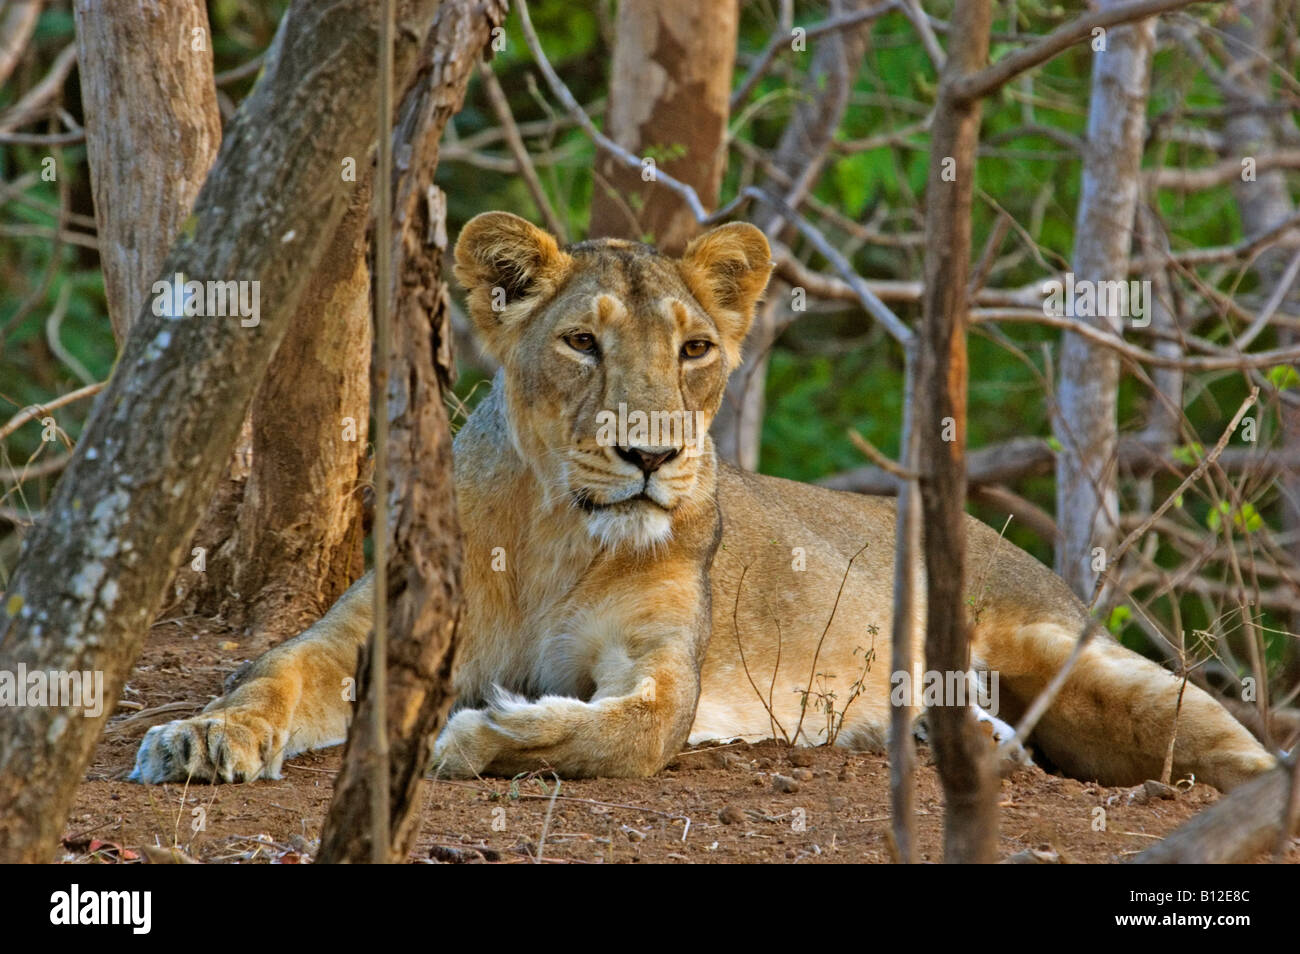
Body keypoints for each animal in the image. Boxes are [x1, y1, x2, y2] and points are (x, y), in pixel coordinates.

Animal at [130, 211, 1275, 791]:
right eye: (581, 343)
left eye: (692, 349)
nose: (650, 455)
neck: (553, 535)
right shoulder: (362, 628)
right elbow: (274, 673)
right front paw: (202, 738)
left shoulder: (662, 670)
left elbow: (619, 733)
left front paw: (487, 731)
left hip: (1081, 659)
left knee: (1244, 754)